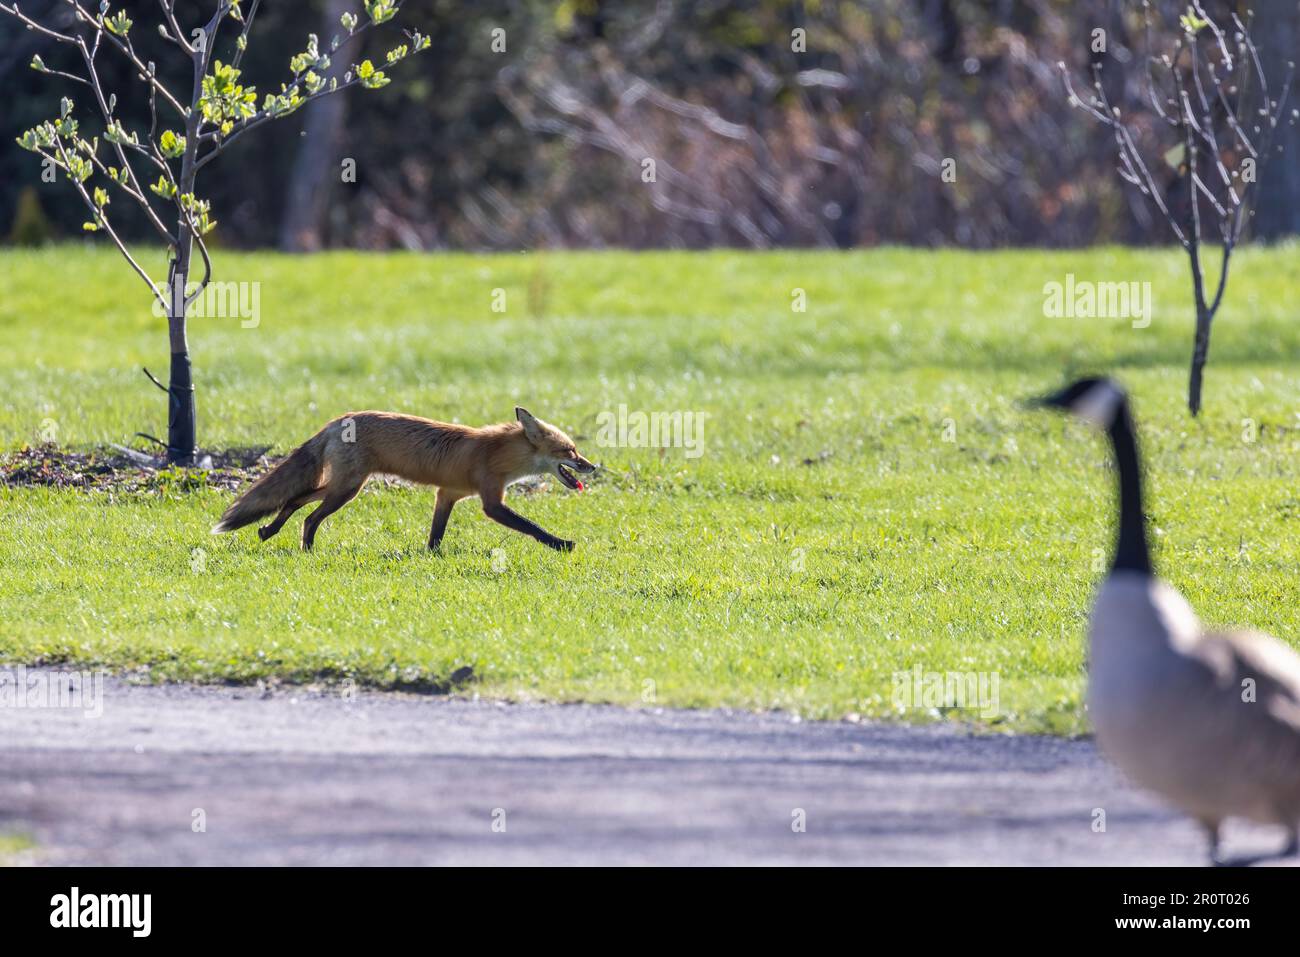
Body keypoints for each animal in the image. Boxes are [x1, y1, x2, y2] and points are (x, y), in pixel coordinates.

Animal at [212, 407, 596, 552]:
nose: (592, 467)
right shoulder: (491, 502)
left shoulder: (447, 494)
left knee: (294, 499)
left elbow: (436, 534)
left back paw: (269, 530)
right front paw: (561, 544)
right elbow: (531, 526)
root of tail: (336, 421)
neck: (497, 453)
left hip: (342, 486)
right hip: (347, 490)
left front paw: (432, 556)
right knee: (309, 516)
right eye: (570, 451)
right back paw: (307, 550)